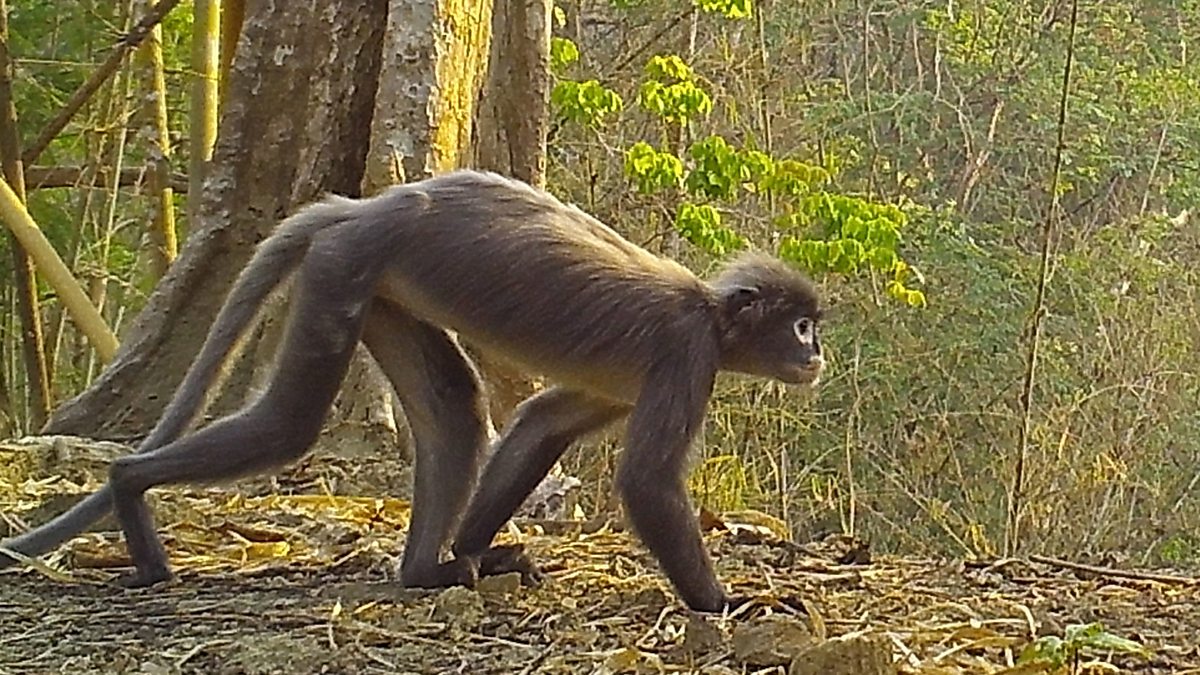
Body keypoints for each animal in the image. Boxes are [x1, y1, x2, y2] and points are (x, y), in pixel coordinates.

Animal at [0, 170, 824, 613]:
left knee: (455, 406)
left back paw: (428, 569)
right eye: (802, 326)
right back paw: (126, 486)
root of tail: (367, 205)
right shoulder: (687, 354)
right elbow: (647, 481)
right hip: (347, 262)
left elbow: (541, 423)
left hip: (373, 283)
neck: (712, 315)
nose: (818, 353)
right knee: (290, 423)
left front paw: (475, 550)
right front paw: (728, 602)